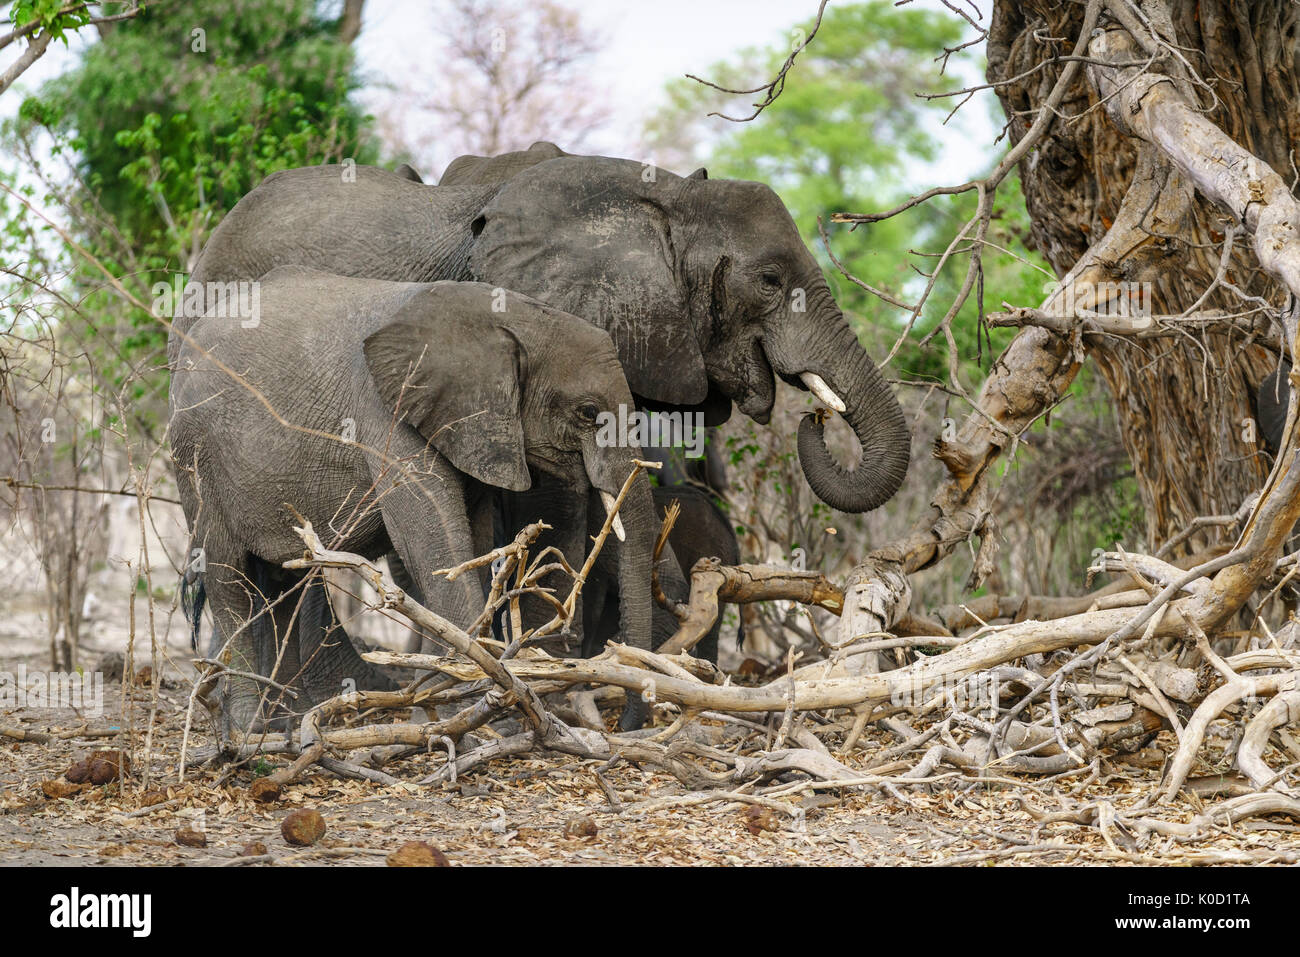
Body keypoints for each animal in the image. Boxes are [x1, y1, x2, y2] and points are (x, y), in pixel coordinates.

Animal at [170, 267, 658, 733]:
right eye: (588, 413)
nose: (629, 724)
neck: (508, 316)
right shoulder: (386, 413)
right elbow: (432, 539)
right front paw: (484, 711)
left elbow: (474, 541)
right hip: (195, 454)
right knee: (228, 578)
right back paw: (250, 730)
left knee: (280, 580)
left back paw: (290, 720)